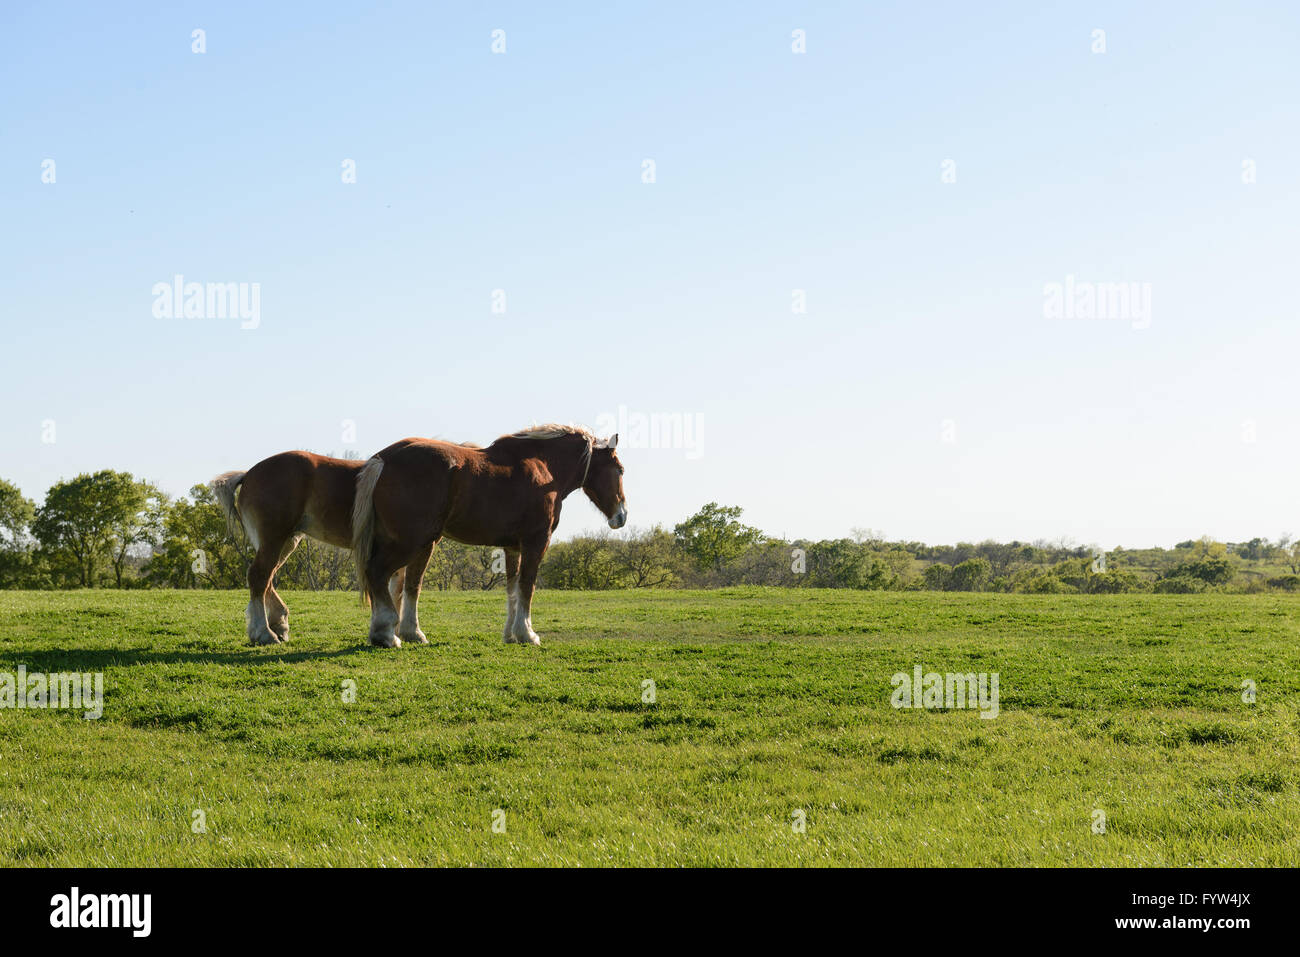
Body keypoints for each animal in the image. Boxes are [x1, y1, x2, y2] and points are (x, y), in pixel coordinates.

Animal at [351, 424, 627, 648]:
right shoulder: (536, 541)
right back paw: (390, 634)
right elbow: (527, 585)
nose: (621, 516)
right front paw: (527, 634)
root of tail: (382, 459)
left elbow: (512, 589)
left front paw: (511, 634)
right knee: (379, 573)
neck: (544, 467)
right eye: (620, 470)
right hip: (409, 542)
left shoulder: (512, 547)